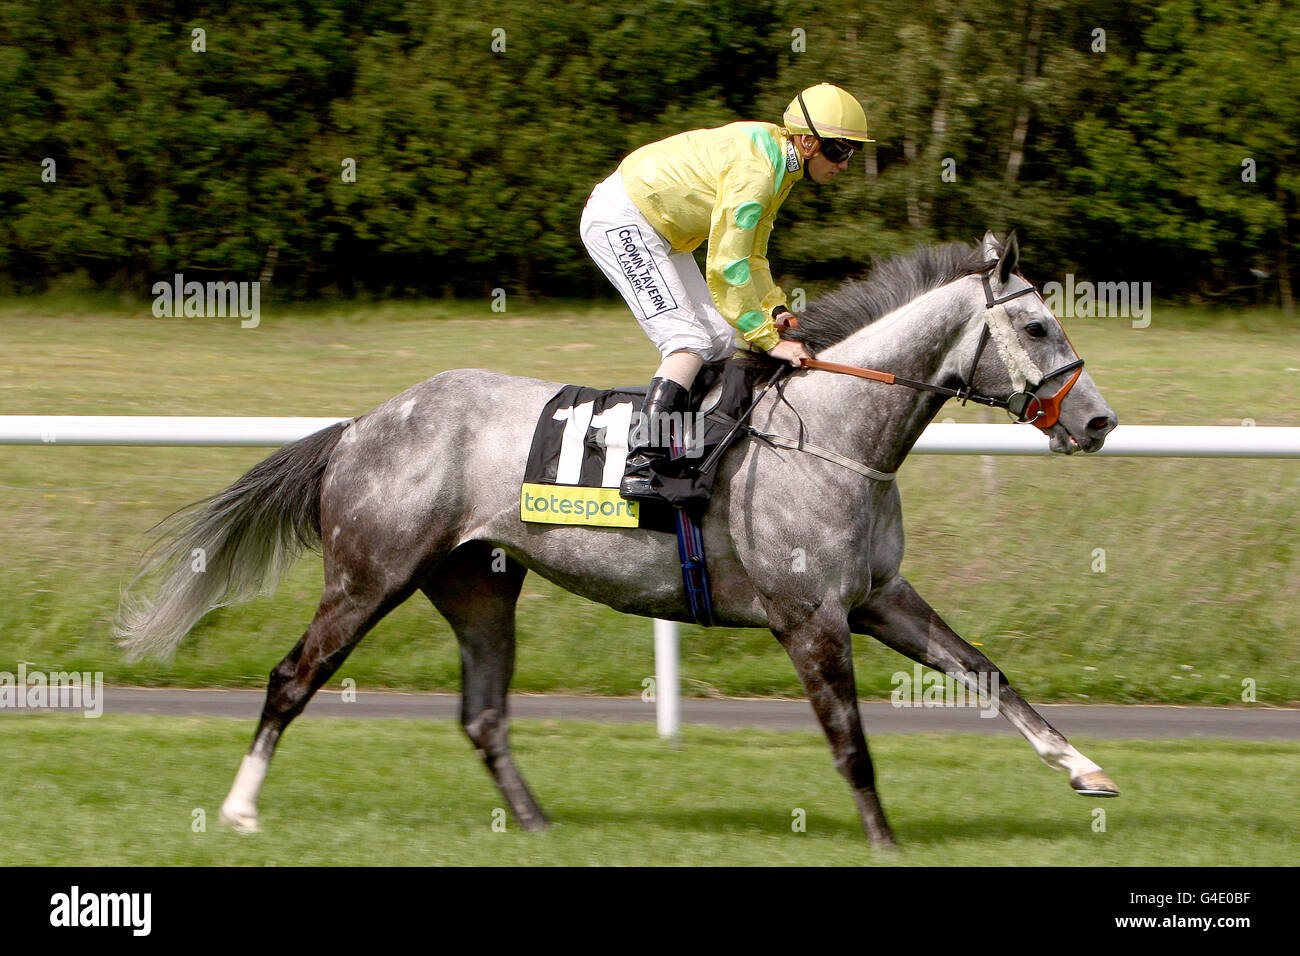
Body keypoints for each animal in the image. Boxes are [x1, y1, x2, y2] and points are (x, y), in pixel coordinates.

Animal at [115, 231, 1119, 850]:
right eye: (1038, 324)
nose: (1100, 422)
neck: (836, 431)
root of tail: (363, 424)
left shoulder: (877, 599)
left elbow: (984, 669)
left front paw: (1086, 769)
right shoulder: (810, 620)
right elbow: (851, 742)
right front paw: (885, 844)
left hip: (477, 582)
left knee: (483, 714)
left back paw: (537, 828)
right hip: (370, 576)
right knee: (293, 677)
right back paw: (240, 810)